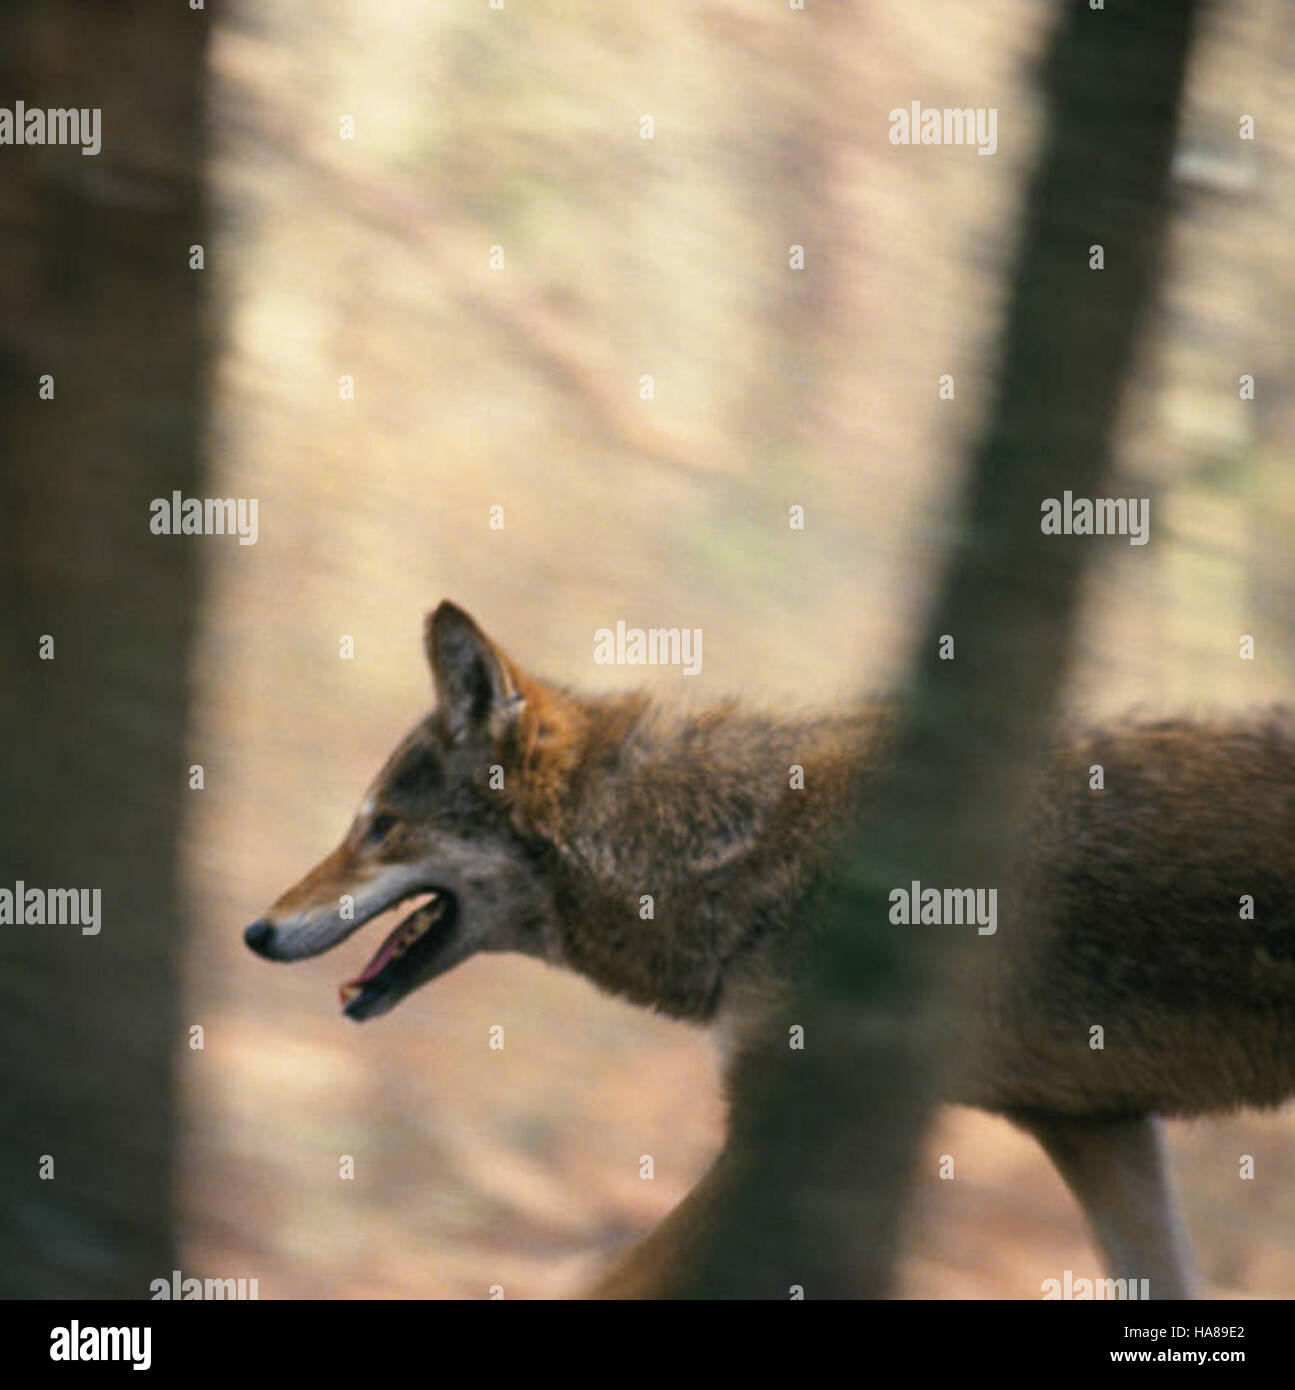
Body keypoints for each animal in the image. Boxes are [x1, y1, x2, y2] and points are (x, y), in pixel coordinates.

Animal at [245, 601, 1295, 1299]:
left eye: (378, 828)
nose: (255, 931)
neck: (721, 846)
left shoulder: (778, 1145)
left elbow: (612, 1283)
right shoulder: (1094, 1126)